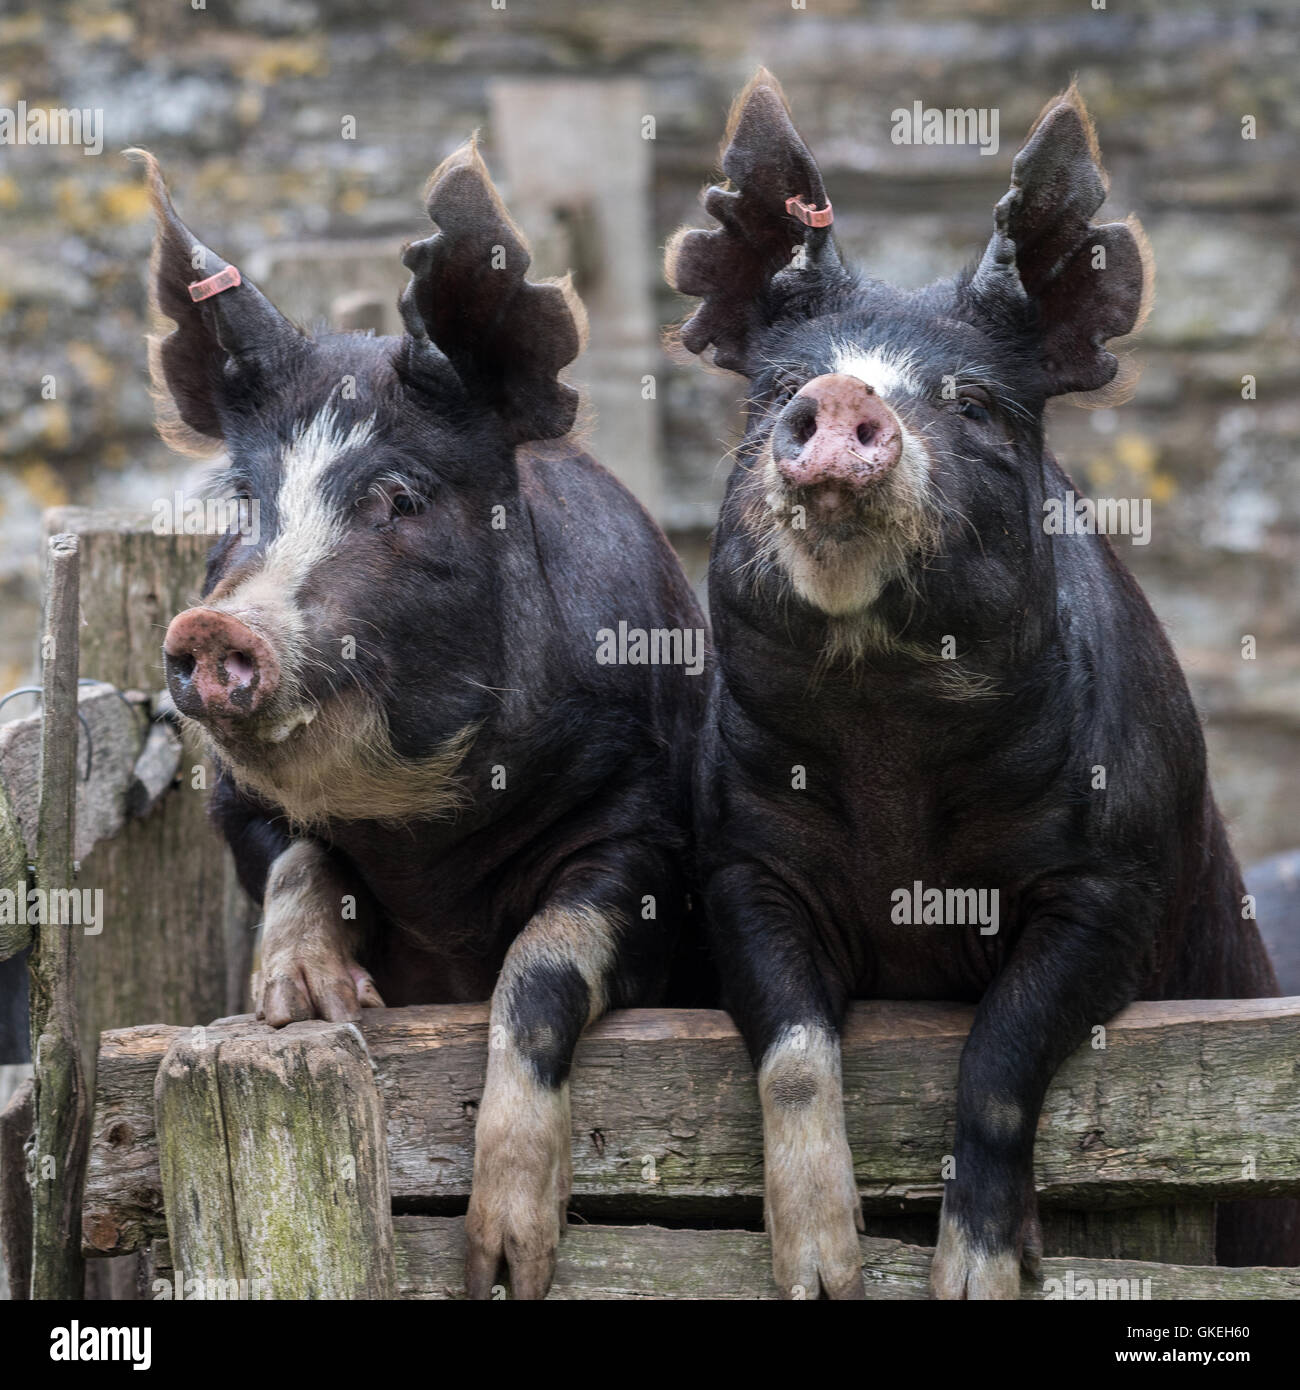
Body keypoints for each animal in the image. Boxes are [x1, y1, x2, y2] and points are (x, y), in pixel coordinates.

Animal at [137, 141, 705, 1299]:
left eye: (399, 498)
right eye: (245, 499)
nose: (215, 625)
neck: (425, 839)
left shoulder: (648, 830)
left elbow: (543, 961)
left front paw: (503, 1264)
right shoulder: (235, 804)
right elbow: (297, 856)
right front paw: (309, 1006)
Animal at [667, 71, 1284, 1298]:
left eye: (975, 405)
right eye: (774, 391)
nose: (841, 395)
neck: (889, 747)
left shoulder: (1118, 881)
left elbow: (999, 1055)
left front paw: (976, 1279)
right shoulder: (739, 859)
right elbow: (794, 1051)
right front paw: (823, 1273)